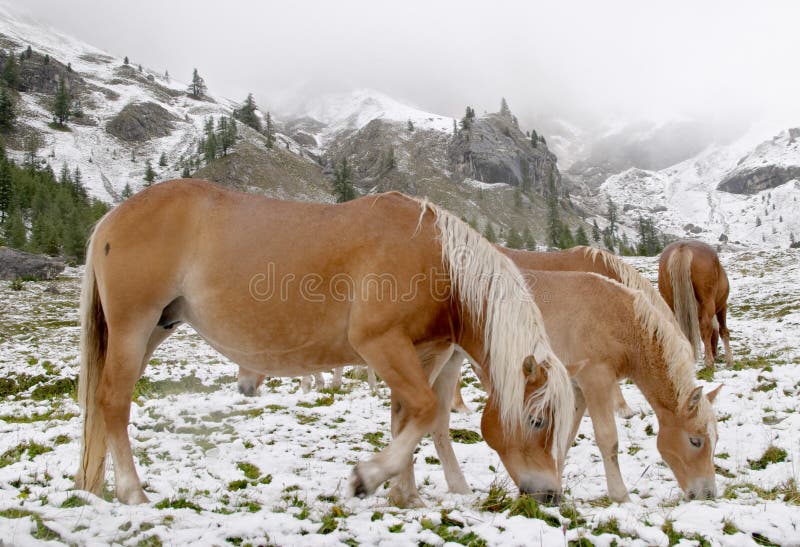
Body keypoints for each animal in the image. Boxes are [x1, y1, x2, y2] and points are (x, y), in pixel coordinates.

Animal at [75, 179, 574, 504]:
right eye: (536, 421)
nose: (550, 493)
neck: (435, 260)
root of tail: (112, 217)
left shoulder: (420, 354)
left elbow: (407, 418)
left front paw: (404, 494)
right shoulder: (381, 344)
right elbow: (425, 409)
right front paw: (366, 479)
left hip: (154, 330)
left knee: (106, 404)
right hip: (133, 327)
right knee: (114, 402)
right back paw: (132, 493)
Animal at [388, 270, 721, 506]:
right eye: (696, 441)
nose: (708, 494)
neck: (620, 318)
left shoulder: (574, 388)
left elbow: (564, 437)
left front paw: (552, 483)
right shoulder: (596, 380)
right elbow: (608, 439)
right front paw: (620, 495)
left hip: (452, 359)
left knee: (439, 424)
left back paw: (455, 486)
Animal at [658, 240, 732, 368]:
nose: (715, 355)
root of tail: (683, 248)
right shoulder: (722, 307)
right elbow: (723, 331)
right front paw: (730, 360)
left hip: (669, 303)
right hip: (708, 302)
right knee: (706, 328)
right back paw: (709, 362)